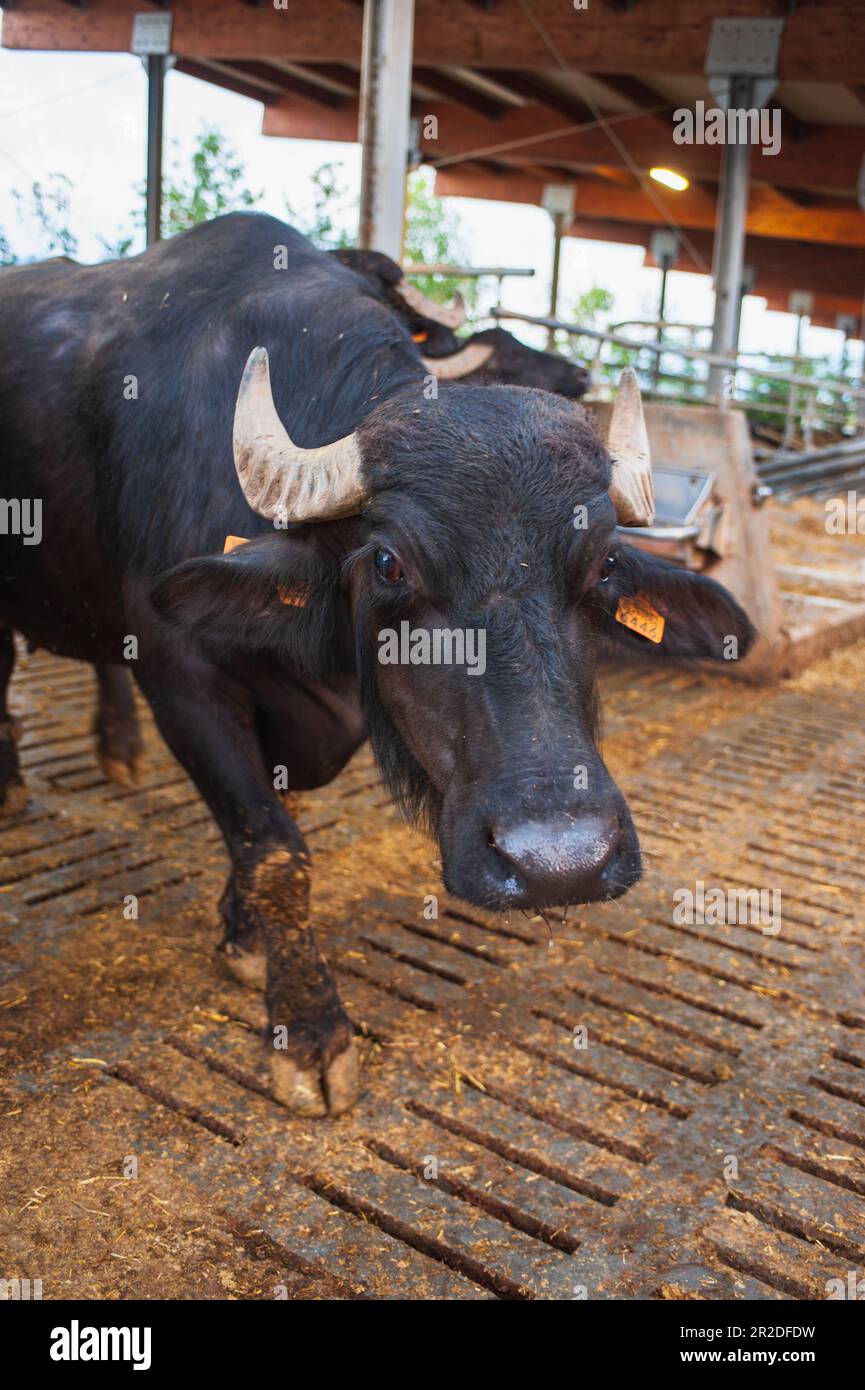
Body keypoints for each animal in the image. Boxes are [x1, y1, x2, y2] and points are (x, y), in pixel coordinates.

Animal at [0, 212, 754, 1116]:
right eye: (390, 563)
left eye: (605, 561)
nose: (559, 862)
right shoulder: (179, 677)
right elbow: (275, 849)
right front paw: (308, 1030)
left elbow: (269, 831)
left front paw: (243, 936)